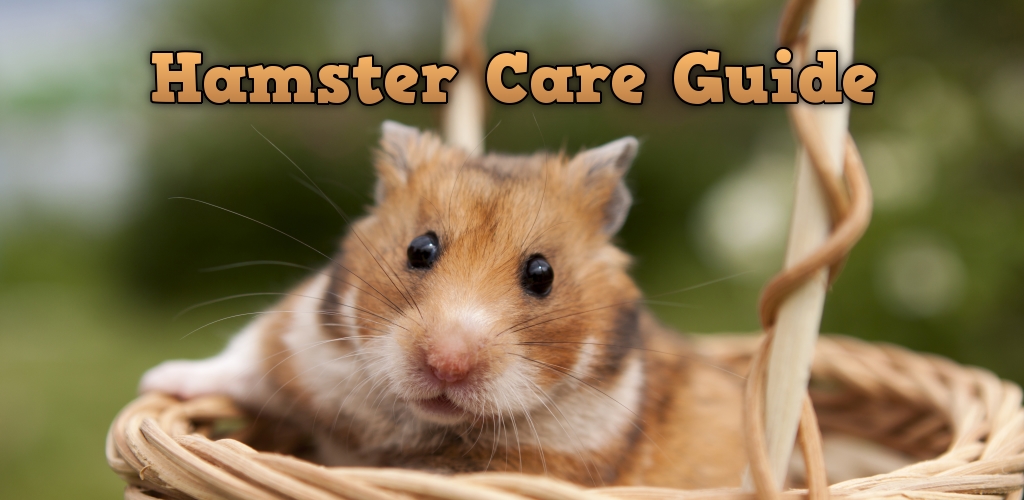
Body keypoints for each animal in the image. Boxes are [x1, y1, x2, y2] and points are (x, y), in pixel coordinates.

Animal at [140, 121, 748, 488]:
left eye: (542, 274)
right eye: (420, 248)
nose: (446, 366)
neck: (420, 421)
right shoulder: (291, 340)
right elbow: (237, 365)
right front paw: (157, 382)